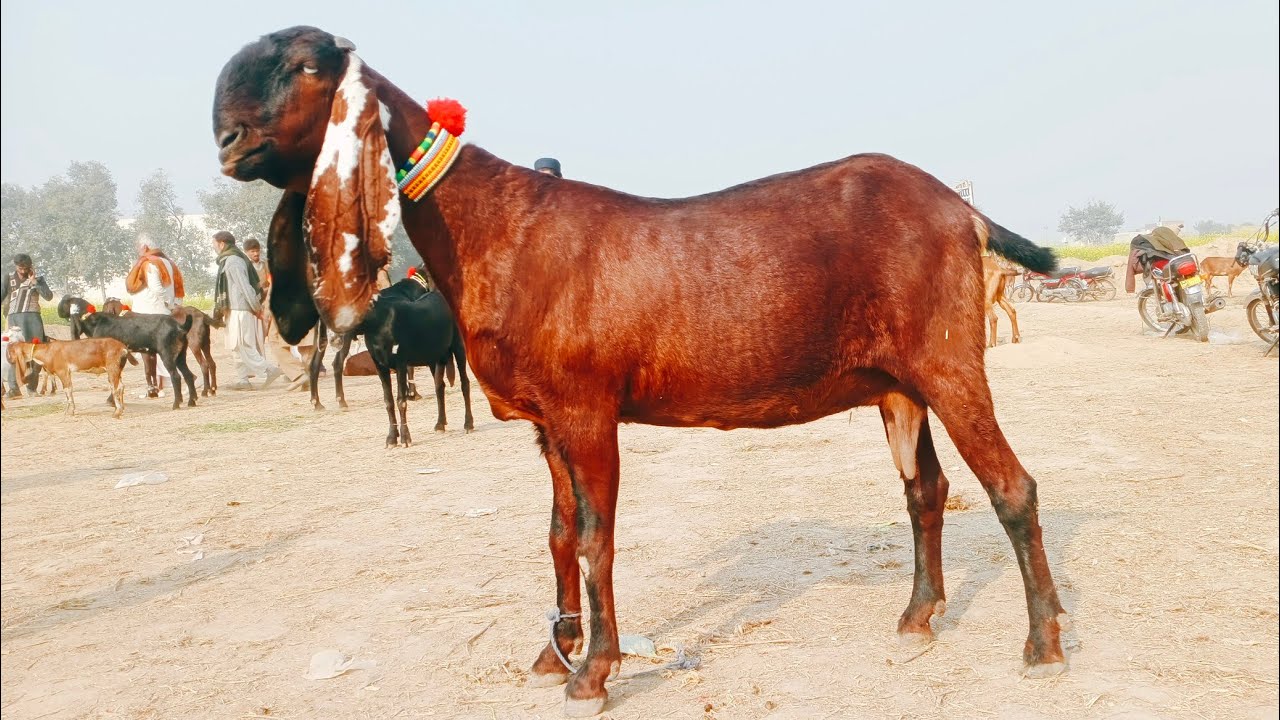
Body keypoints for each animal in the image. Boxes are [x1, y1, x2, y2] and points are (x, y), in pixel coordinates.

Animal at [214, 27, 1068, 713]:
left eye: (303, 64)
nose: (227, 137)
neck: (498, 226)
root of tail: (962, 210)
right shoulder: (548, 422)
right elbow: (558, 534)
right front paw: (551, 652)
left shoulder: (588, 409)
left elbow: (597, 538)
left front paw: (593, 673)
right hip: (897, 383)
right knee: (927, 490)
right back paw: (919, 618)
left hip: (947, 356)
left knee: (1012, 486)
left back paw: (1044, 645)